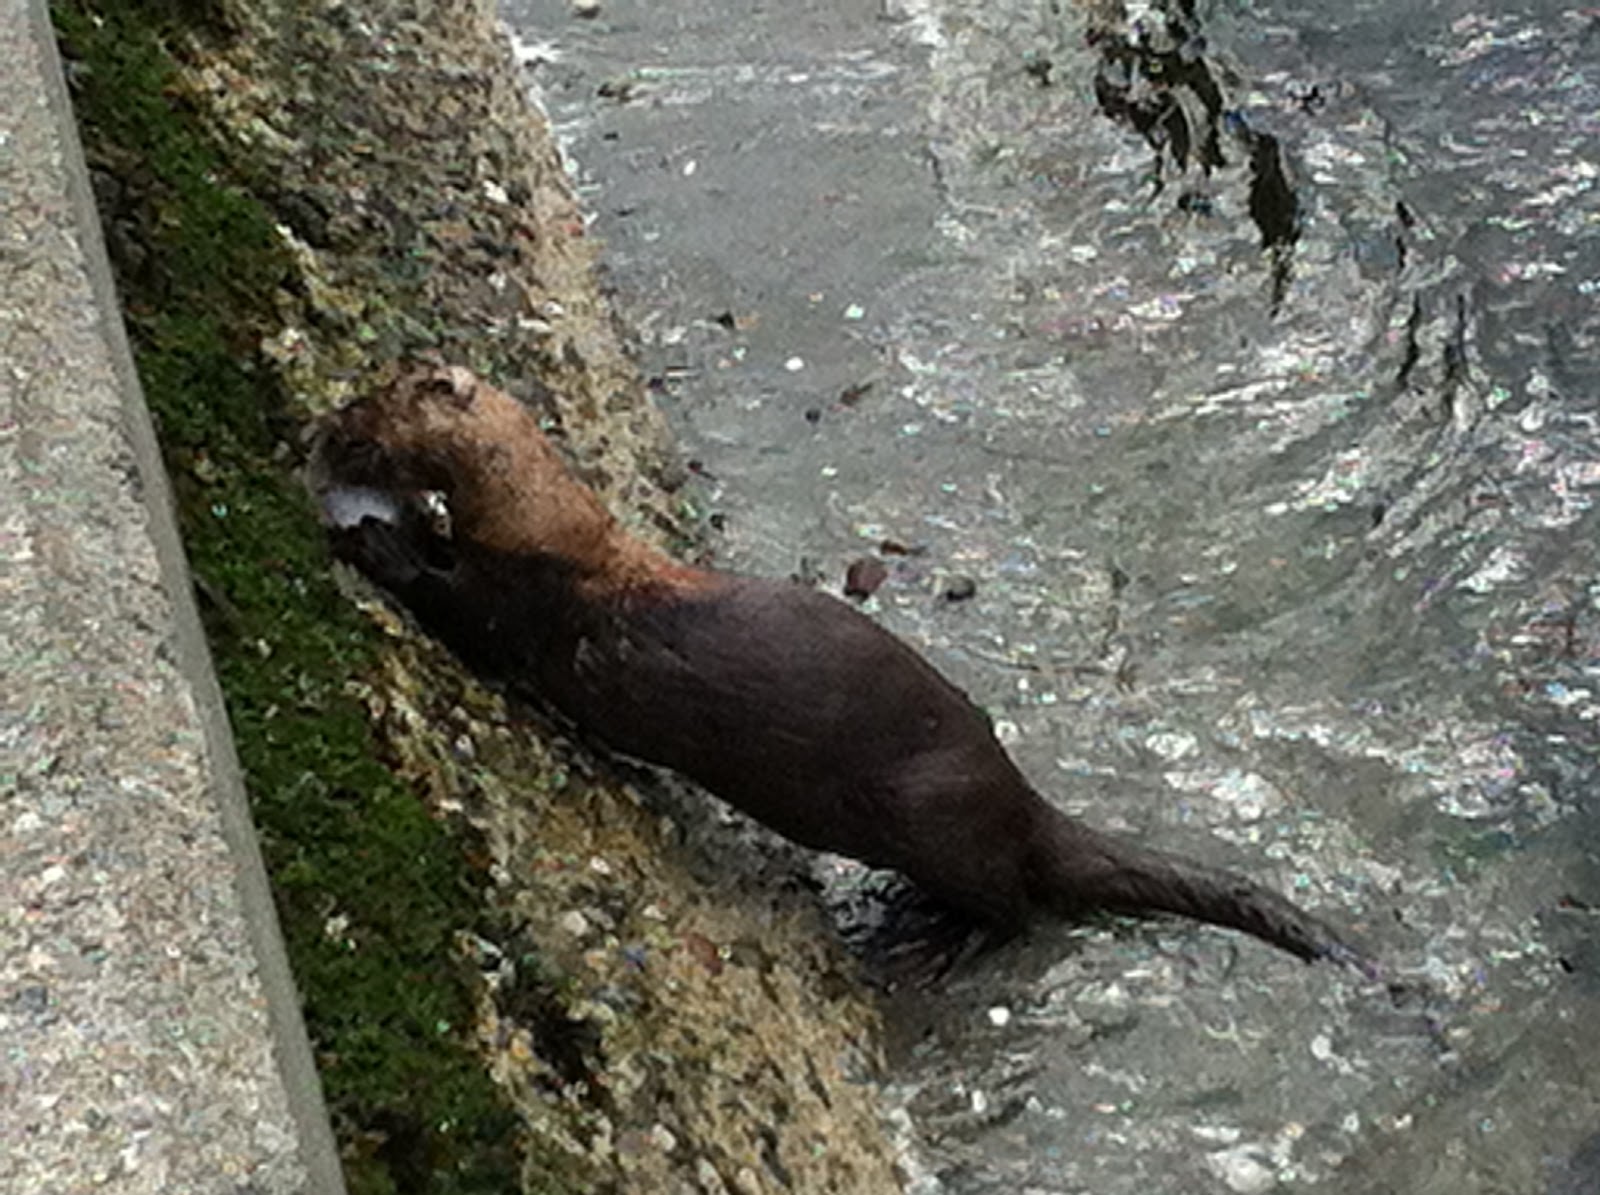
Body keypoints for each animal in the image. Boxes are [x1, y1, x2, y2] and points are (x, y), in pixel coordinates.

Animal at [317, 365, 1362, 967]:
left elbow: (458, 604)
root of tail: (1020, 797)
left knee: (1017, 906)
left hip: (931, 814)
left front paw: (371, 537)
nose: (327, 423)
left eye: (366, 411)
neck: (547, 528)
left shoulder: (521, 596)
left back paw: (936, 941)